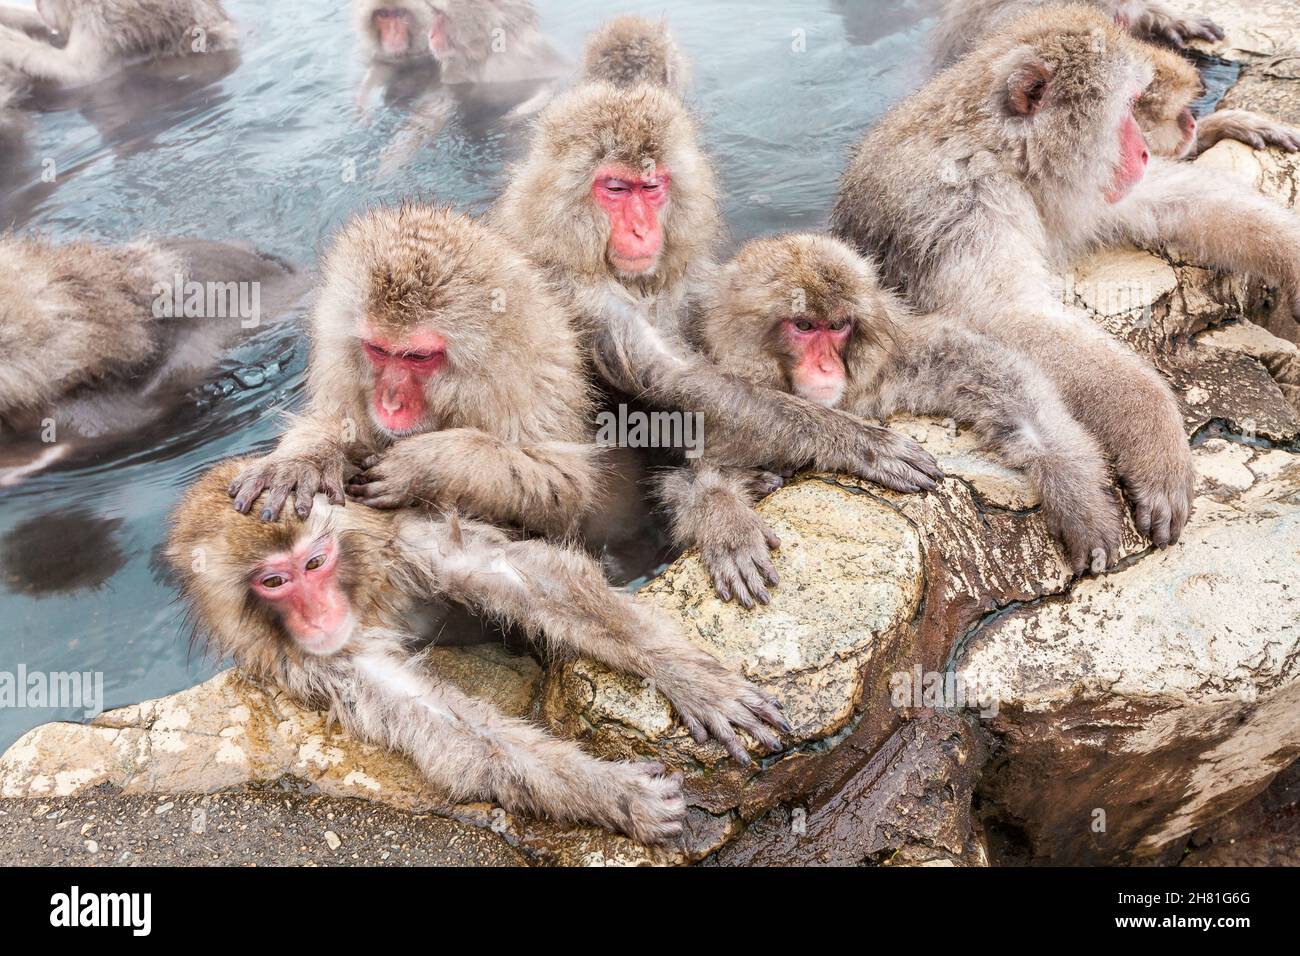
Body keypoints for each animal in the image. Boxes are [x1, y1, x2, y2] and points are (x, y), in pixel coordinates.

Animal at [170, 460, 789, 841]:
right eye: (274, 582)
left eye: (315, 562)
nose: (319, 613)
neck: (360, 598)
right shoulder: (312, 663)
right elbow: (451, 727)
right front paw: (618, 795)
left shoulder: (391, 542)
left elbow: (520, 578)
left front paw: (693, 681)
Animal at [226, 203, 603, 542]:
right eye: (378, 350)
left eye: (418, 356)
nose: (390, 404)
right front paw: (305, 459)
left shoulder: (534, 381)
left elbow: (561, 485)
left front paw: (425, 466)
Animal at [491, 82, 944, 514]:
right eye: (616, 188)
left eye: (650, 187)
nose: (641, 229)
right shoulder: (577, 294)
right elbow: (678, 378)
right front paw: (860, 441)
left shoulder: (685, 279)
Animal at [665, 233, 1123, 605]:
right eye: (803, 325)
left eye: (838, 326)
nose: (827, 367)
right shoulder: (720, 400)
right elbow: (698, 473)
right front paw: (726, 518)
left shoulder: (887, 364)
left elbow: (982, 366)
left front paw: (1074, 492)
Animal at [832, 4, 1300, 549]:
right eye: (1128, 107)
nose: (1141, 152)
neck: (1003, 152)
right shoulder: (955, 211)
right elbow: (1002, 319)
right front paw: (1155, 435)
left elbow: (1167, 200)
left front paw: (1293, 257)